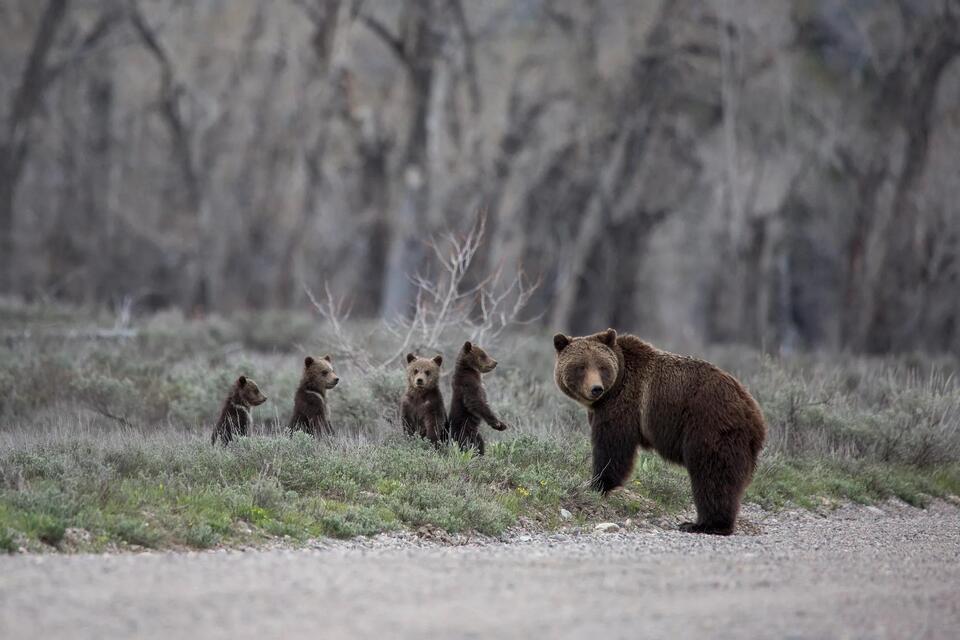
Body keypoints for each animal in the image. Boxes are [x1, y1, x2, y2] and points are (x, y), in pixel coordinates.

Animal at [553, 329, 766, 535]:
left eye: (602, 366)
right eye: (581, 367)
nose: (596, 389)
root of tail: (753, 411)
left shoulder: (623, 404)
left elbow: (612, 447)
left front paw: (598, 483)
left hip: (710, 424)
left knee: (712, 474)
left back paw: (704, 524)